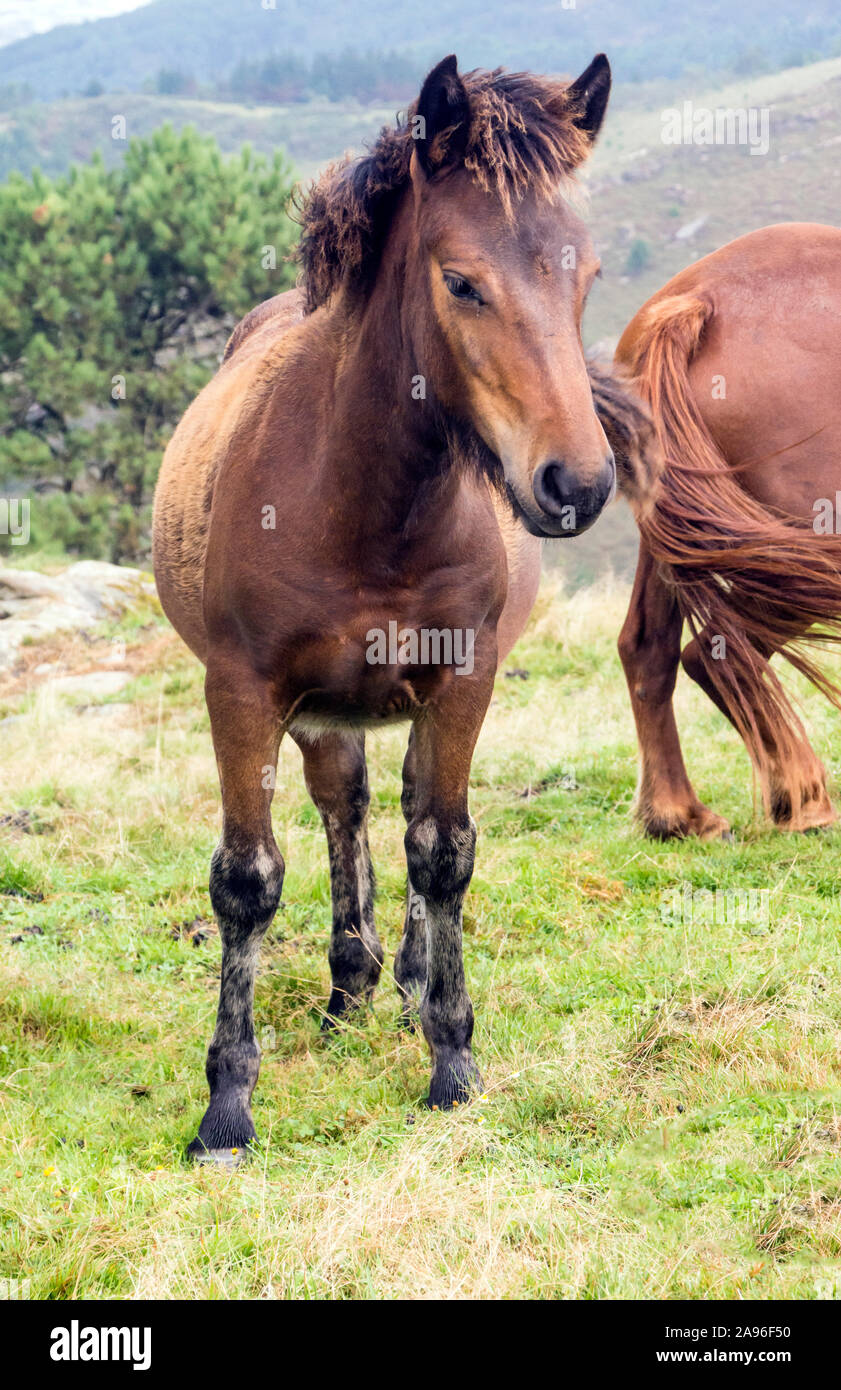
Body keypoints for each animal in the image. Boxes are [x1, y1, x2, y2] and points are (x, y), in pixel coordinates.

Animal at [153, 52, 644, 1162]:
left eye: (586, 276)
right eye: (461, 281)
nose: (576, 484)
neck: (365, 503)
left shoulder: (463, 678)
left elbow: (445, 850)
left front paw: (452, 1060)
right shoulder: (243, 692)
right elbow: (245, 880)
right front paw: (226, 1104)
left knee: (410, 812)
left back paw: (408, 983)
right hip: (317, 711)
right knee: (345, 808)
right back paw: (350, 986)